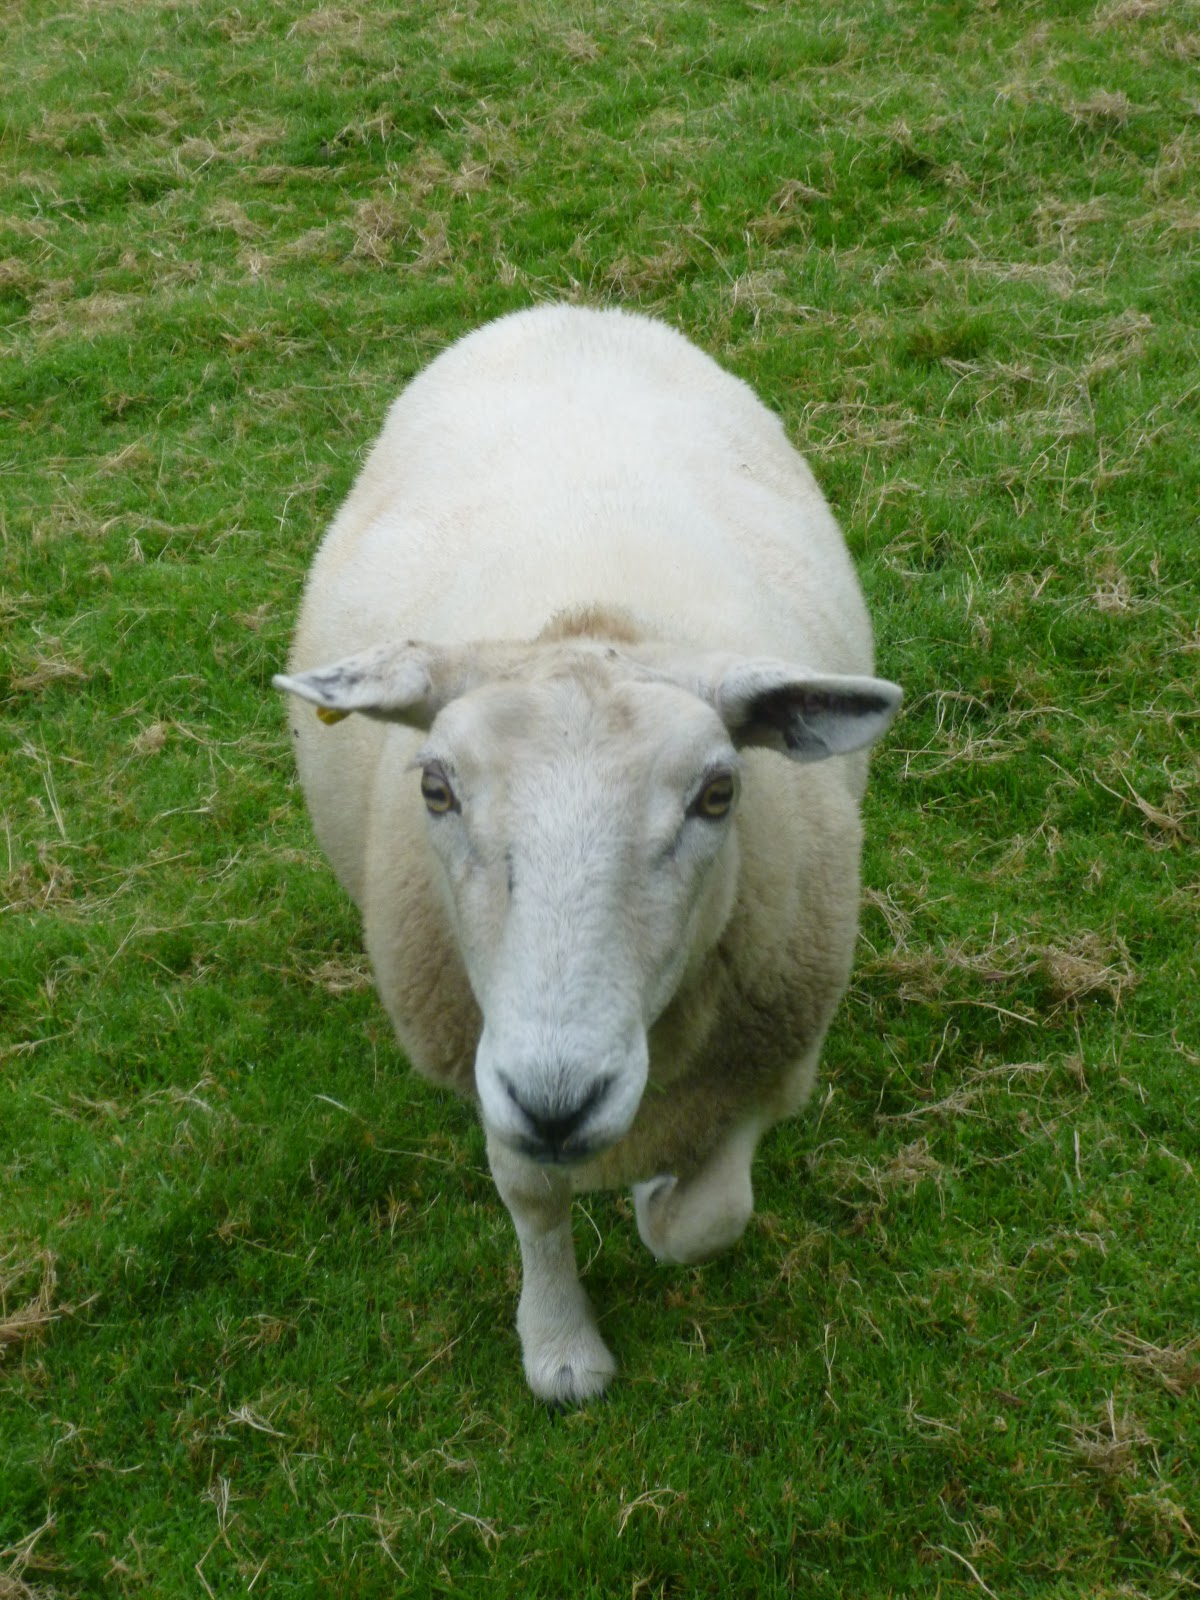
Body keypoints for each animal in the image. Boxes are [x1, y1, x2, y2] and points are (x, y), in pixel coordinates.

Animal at [274, 304, 901, 1406]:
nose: (562, 1098)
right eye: (435, 788)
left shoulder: (772, 1059)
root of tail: (567, 310)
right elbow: (533, 1197)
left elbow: (707, 1219)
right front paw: (561, 1345)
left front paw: (654, 1198)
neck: (594, 618)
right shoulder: (492, 1066)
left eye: (719, 792)